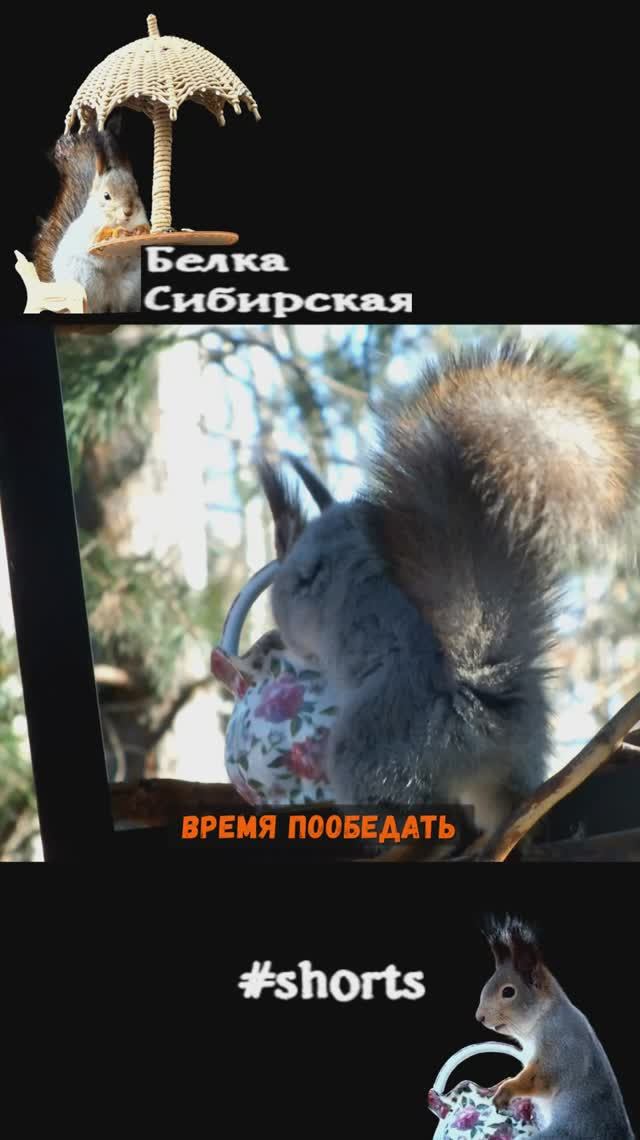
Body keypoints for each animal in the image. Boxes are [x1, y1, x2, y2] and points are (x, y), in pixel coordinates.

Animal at [33, 119, 149, 313]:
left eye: (137, 191)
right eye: (106, 196)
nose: (128, 211)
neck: (119, 221)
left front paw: (139, 232)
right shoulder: (89, 232)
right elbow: (96, 242)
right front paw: (117, 233)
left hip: (132, 284)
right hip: (84, 280)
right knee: (87, 305)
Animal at [258, 340, 640, 839]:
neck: (335, 537)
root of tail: (479, 706)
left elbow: (299, 637)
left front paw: (275, 642)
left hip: (373, 743)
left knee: (406, 808)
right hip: (509, 768)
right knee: (503, 804)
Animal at [476, 916, 634, 1137]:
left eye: (508, 992)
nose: (479, 1017)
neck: (543, 1018)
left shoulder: (560, 1044)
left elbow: (541, 1077)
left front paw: (506, 1089)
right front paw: (498, 1084)